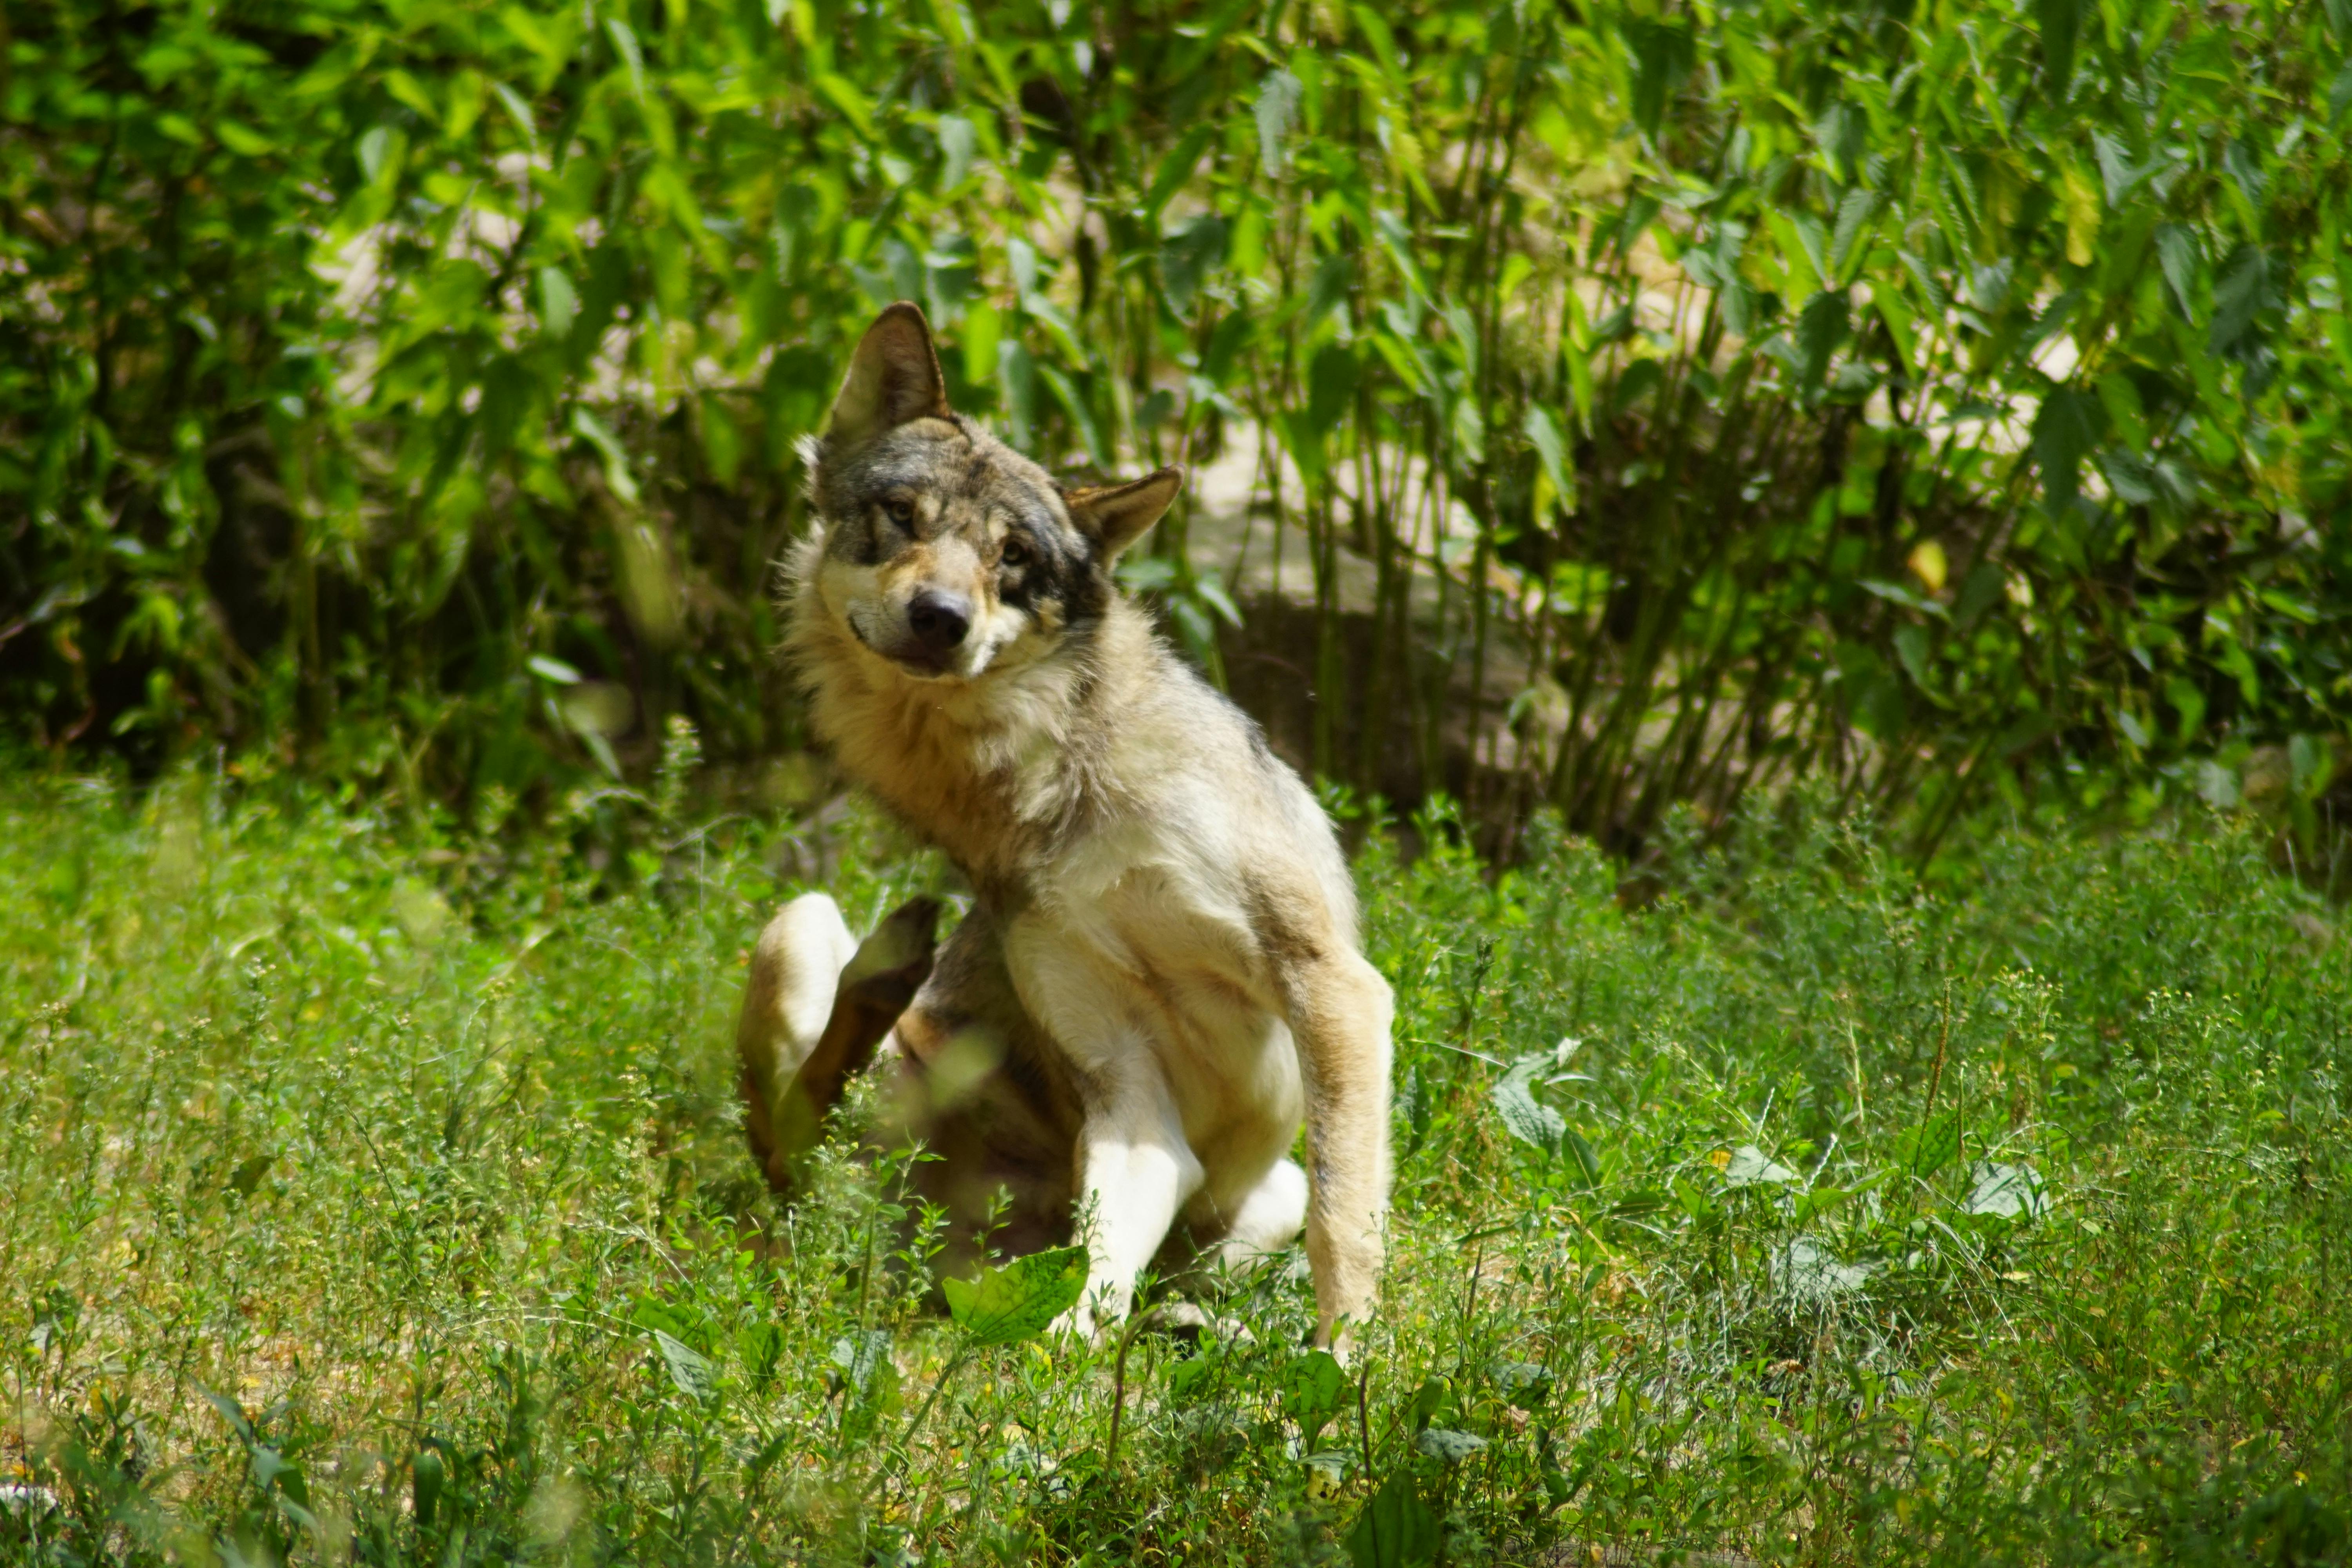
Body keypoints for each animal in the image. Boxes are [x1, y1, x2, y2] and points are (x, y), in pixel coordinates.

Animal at [735, 302, 1393, 1350]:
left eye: (1015, 558)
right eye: (902, 515)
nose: (941, 617)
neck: (1056, 782)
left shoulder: (1329, 986)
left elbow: (1347, 1220)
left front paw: (1351, 1359)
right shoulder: (1125, 1084)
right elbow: (1094, 1272)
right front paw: (1065, 1356)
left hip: (1266, 1197)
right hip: (796, 926)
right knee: (791, 1138)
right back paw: (890, 964)